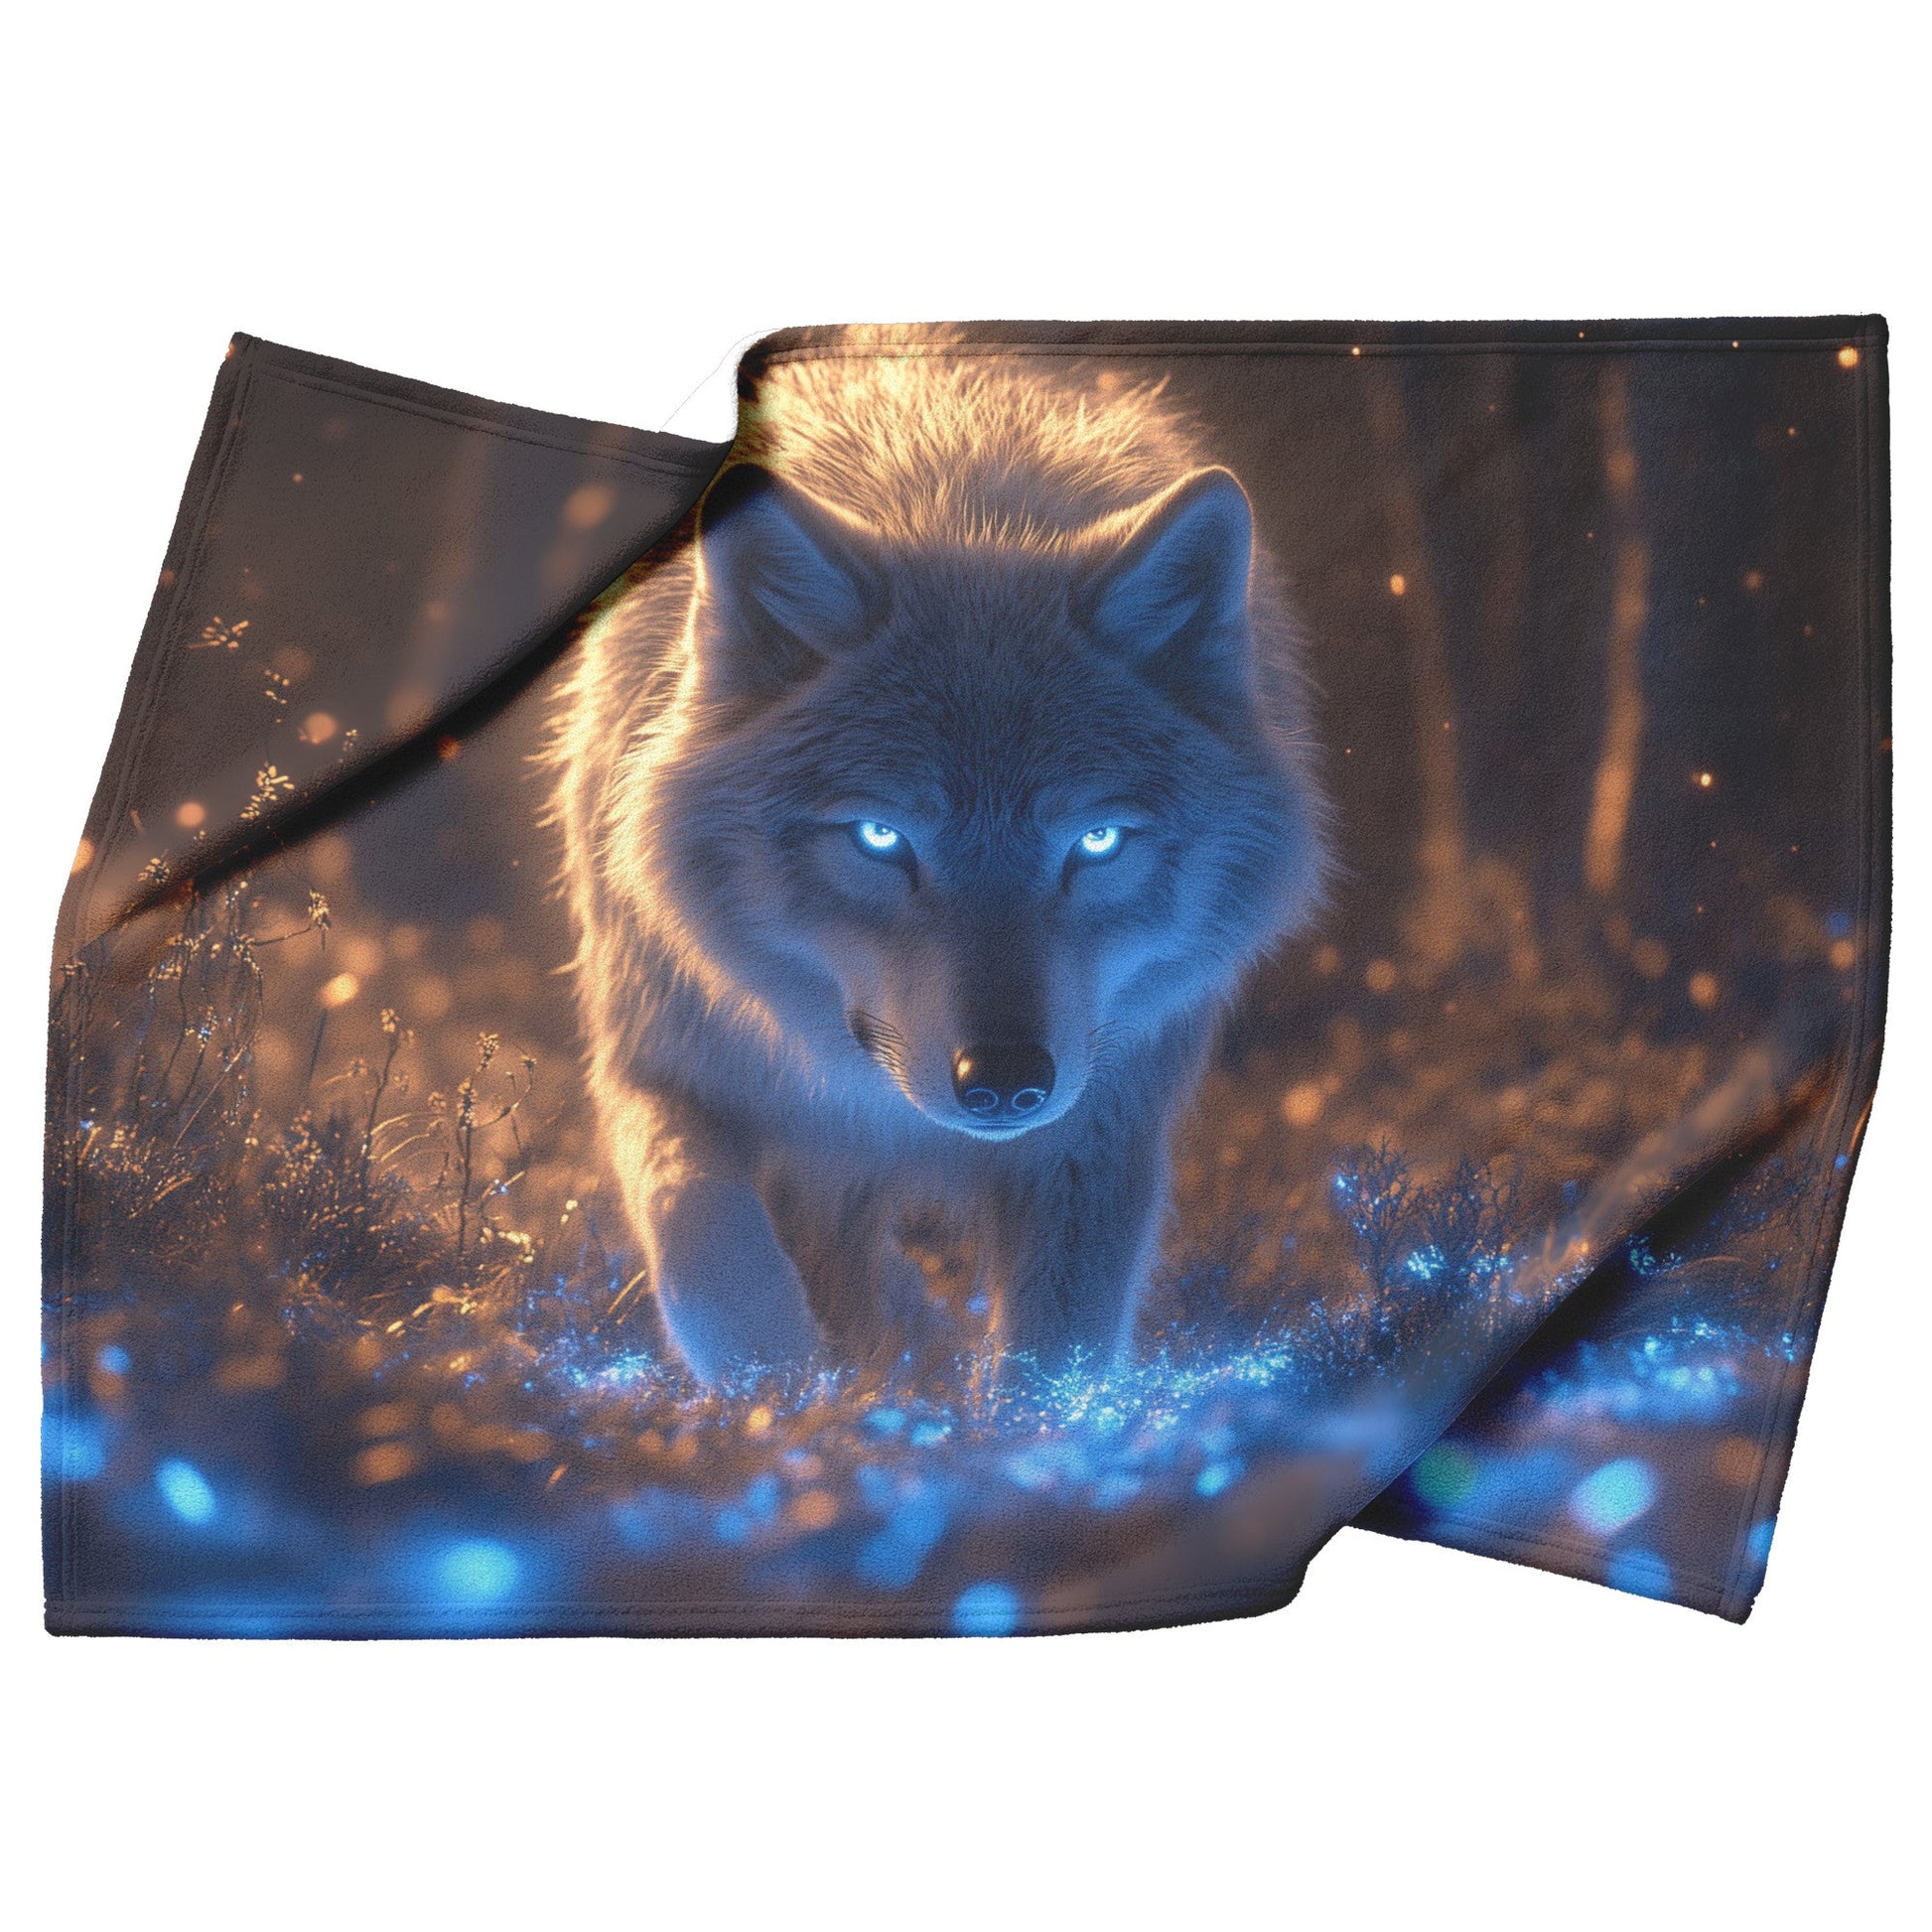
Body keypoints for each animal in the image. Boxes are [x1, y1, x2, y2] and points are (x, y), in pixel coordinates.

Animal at [549, 333, 1327, 1386]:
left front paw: (1017, 1429)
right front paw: (784, 1396)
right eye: (882, 839)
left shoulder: (1100, 1131)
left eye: (1095, 842)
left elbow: (1059, 1353)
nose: (1004, 1077)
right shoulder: (658, 1061)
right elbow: (706, 1251)